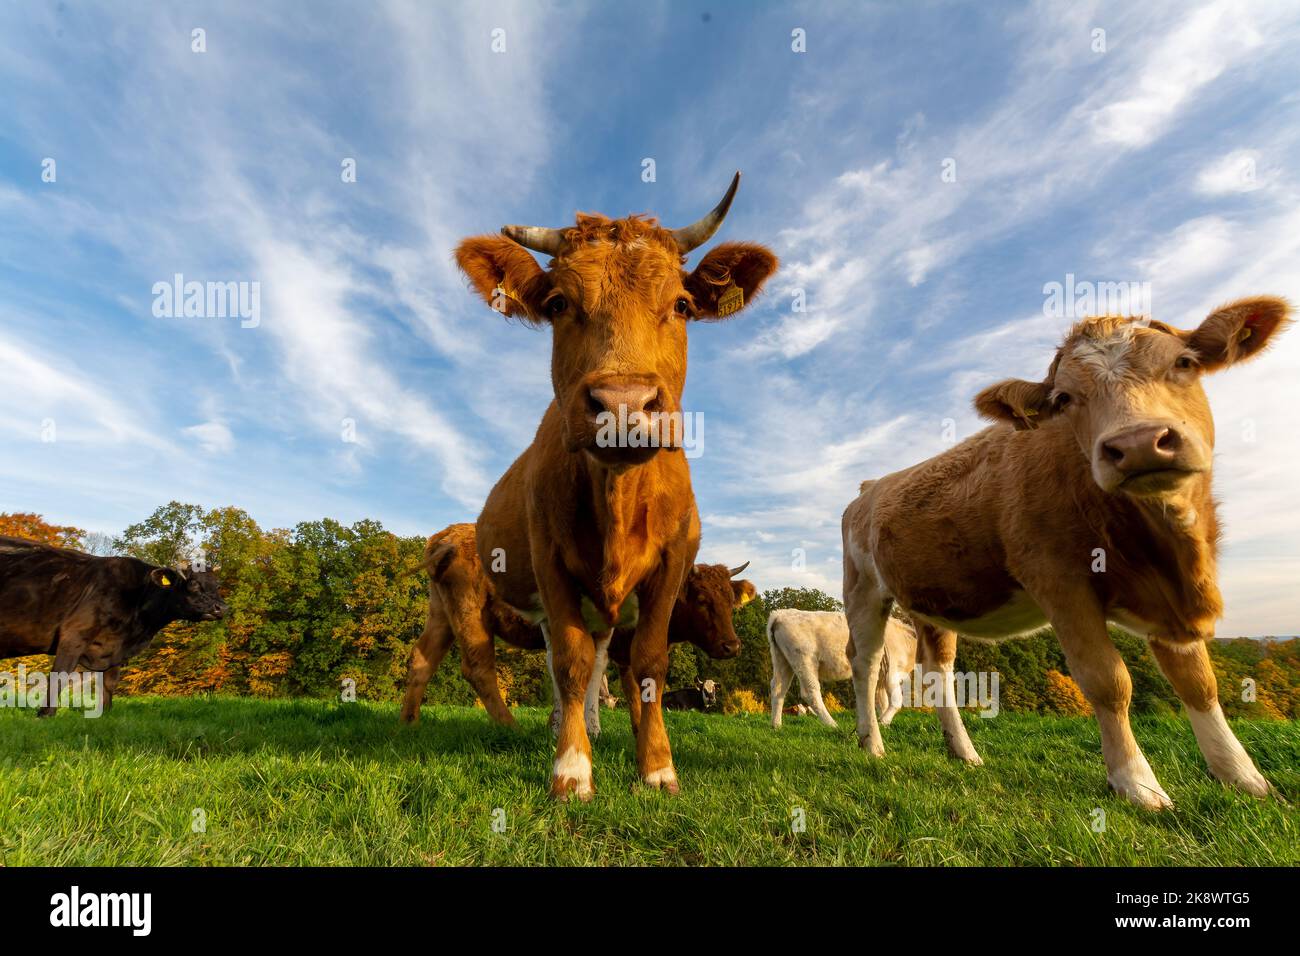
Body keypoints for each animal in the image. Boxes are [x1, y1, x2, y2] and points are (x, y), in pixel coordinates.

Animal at [0, 535, 226, 714]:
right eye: (193, 584)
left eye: (217, 585)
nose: (222, 607)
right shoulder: (73, 634)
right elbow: (60, 675)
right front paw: (45, 715)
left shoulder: (115, 648)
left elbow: (109, 683)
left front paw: (106, 713)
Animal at [399, 523, 755, 739]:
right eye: (702, 600)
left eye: (730, 600)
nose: (732, 646)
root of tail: (448, 536)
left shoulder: (624, 650)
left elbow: (634, 689)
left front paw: (636, 729)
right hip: (471, 611)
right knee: (477, 667)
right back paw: (510, 727)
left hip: (441, 613)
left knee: (422, 659)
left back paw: (409, 721)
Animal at [454, 173, 777, 799]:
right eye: (558, 304)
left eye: (681, 305)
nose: (624, 405)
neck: (619, 498)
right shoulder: (549, 560)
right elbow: (571, 662)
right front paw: (571, 768)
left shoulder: (671, 564)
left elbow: (647, 665)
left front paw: (657, 767)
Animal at [767, 608, 915, 729]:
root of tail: (780, 614)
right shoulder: (893, 669)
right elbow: (896, 701)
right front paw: (883, 721)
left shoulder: (880, 676)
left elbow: (881, 701)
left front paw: (882, 724)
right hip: (804, 659)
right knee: (810, 692)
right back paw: (832, 724)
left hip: (782, 660)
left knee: (778, 689)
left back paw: (776, 725)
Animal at [842, 298, 1291, 808]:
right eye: (1064, 400)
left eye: (1184, 363)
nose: (1138, 443)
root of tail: (872, 484)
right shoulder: (1059, 582)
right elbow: (1108, 680)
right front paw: (1137, 783)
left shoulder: (1170, 600)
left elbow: (1198, 682)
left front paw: (1243, 776)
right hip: (863, 589)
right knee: (865, 661)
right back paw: (872, 743)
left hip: (932, 603)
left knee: (938, 669)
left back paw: (963, 752)